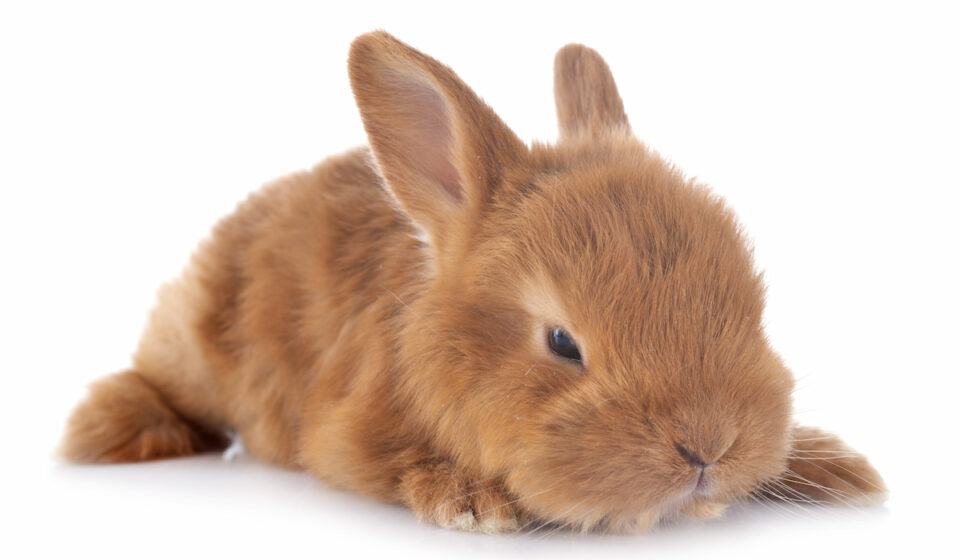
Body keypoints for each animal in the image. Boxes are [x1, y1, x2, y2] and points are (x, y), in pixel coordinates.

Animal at [60, 30, 886, 534]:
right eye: (562, 342)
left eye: (752, 306)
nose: (709, 447)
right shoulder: (344, 435)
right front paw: (472, 500)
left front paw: (834, 468)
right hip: (194, 343)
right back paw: (104, 430)